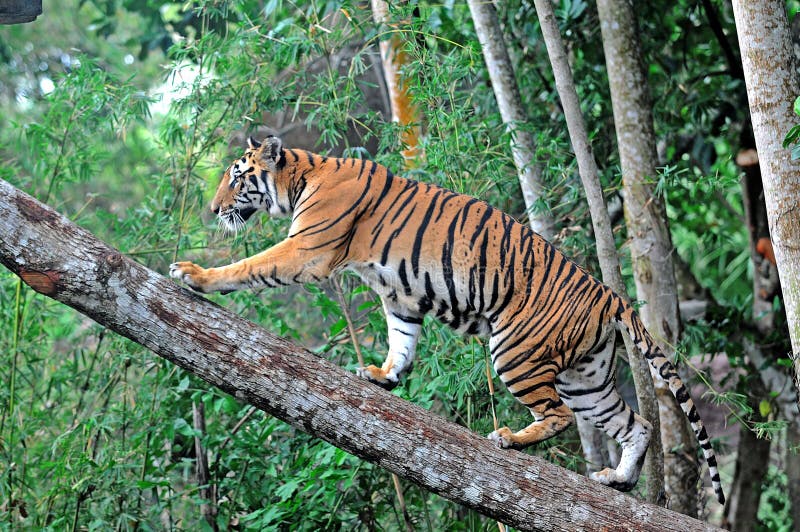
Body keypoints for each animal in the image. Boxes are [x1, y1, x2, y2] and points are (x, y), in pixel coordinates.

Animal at [169, 135, 725, 504]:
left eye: (236, 176)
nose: (213, 209)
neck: (303, 176)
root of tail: (609, 293)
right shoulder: (400, 294)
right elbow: (402, 339)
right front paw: (384, 375)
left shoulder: (306, 251)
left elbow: (250, 266)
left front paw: (195, 275)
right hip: (584, 377)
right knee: (636, 424)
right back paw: (619, 479)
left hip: (515, 351)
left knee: (559, 417)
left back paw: (511, 439)